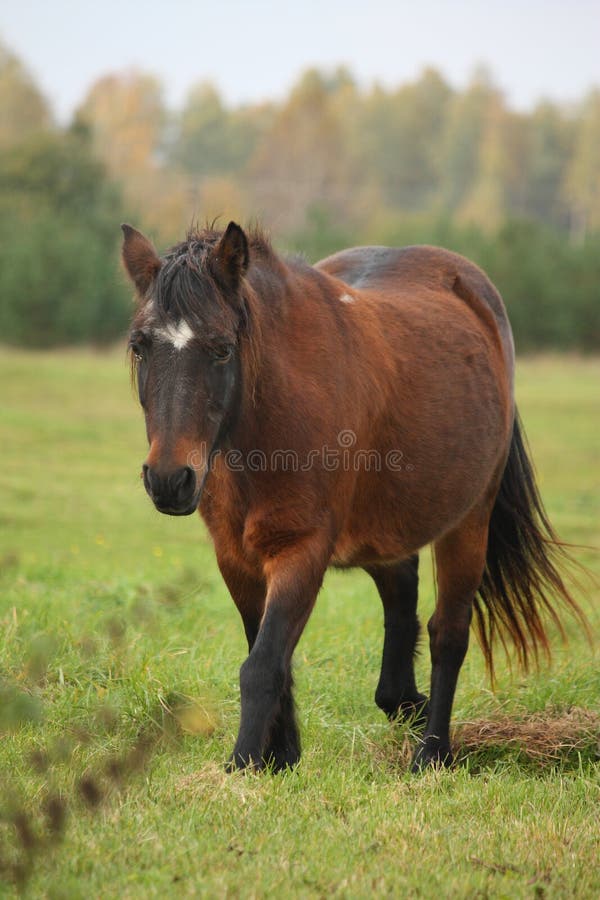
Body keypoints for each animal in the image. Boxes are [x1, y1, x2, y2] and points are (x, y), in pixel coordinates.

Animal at [121, 220, 586, 772]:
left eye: (221, 349)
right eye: (140, 347)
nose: (169, 479)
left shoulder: (301, 550)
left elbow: (262, 665)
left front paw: (242, 766)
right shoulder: (234, 558)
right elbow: (268, 652)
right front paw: (281, 756)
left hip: (469, 522)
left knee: (448, 632)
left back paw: (432, 753)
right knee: (402, 600)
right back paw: (406, 704)